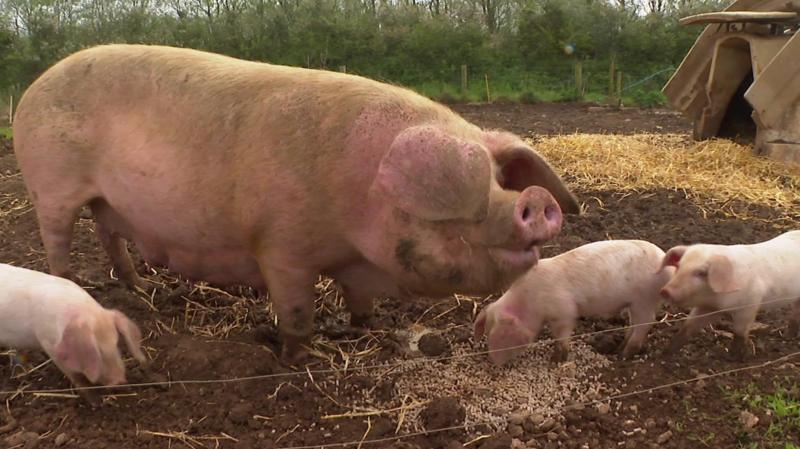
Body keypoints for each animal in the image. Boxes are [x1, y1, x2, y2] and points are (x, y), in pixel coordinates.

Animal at [0, 263, 146, 400]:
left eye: (116, 344)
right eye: (98, 352)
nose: (120, 382)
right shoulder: (49, 344)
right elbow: (74, 375)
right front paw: (92, 399)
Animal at [12, 44, 579, 364]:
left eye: (503, 182)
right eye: (476, 194)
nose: (534, 198)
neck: (360, 196)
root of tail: (34, 86)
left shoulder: (352, 263)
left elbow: (359, 300)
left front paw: (369, 329)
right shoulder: (280, 246)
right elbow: (296, 308)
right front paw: (293, 357)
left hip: (106, 199)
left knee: (109, 233)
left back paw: (140, 290)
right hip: (51, 184)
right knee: (57, 241)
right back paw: (77, 284)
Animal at [474, 240, 671, 365]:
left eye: (496, 335)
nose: (493, 363)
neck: (530, 300)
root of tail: (665, 261)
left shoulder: (564, 312)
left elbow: (561, 336)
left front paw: (555, 361)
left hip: (644, 300)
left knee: (645, 323)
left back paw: (623, 355)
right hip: (636, 303)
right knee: (635, 323)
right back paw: (620, 346)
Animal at [659, 230, 800, 359]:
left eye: (701, 273)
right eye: (679, 266)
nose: (665, 291)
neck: (717, 299)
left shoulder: (750, 304)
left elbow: (739, 332)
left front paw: (733, 358)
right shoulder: (708, 307)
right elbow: (689, 326)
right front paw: (666, 353)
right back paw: (787, 336)